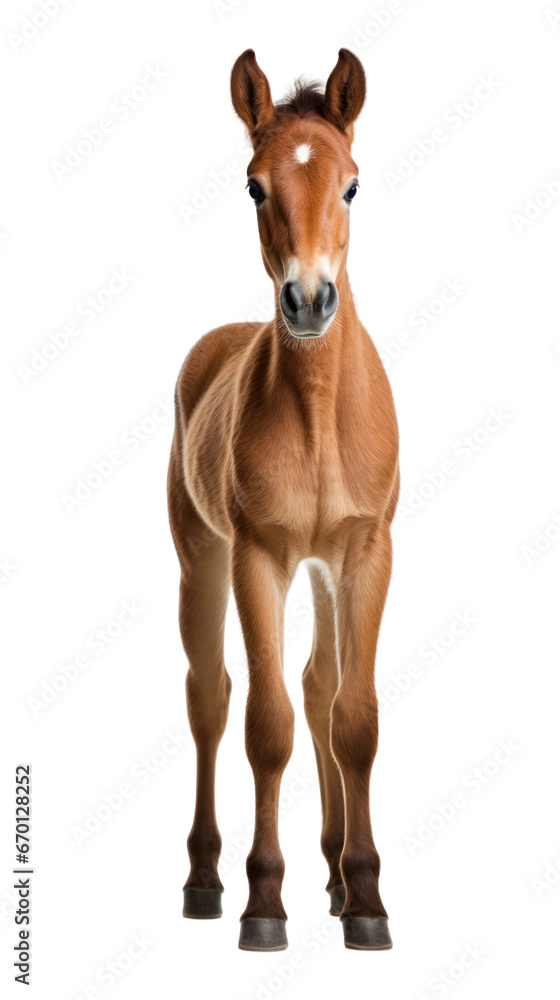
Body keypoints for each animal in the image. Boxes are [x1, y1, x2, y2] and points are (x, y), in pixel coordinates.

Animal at [167, 48, 399, 952]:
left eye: (354, 184)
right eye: (254, 186)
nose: (308, 301)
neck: (318, 413)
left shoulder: (365, 552)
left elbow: (352, 718)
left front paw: (366, 898)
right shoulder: (257, 556)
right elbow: (266, 727)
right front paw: (264, 901)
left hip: (325, 574)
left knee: (317, 683)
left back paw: (335, 873)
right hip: (200, 557)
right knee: (210, 697)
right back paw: (205, 881)